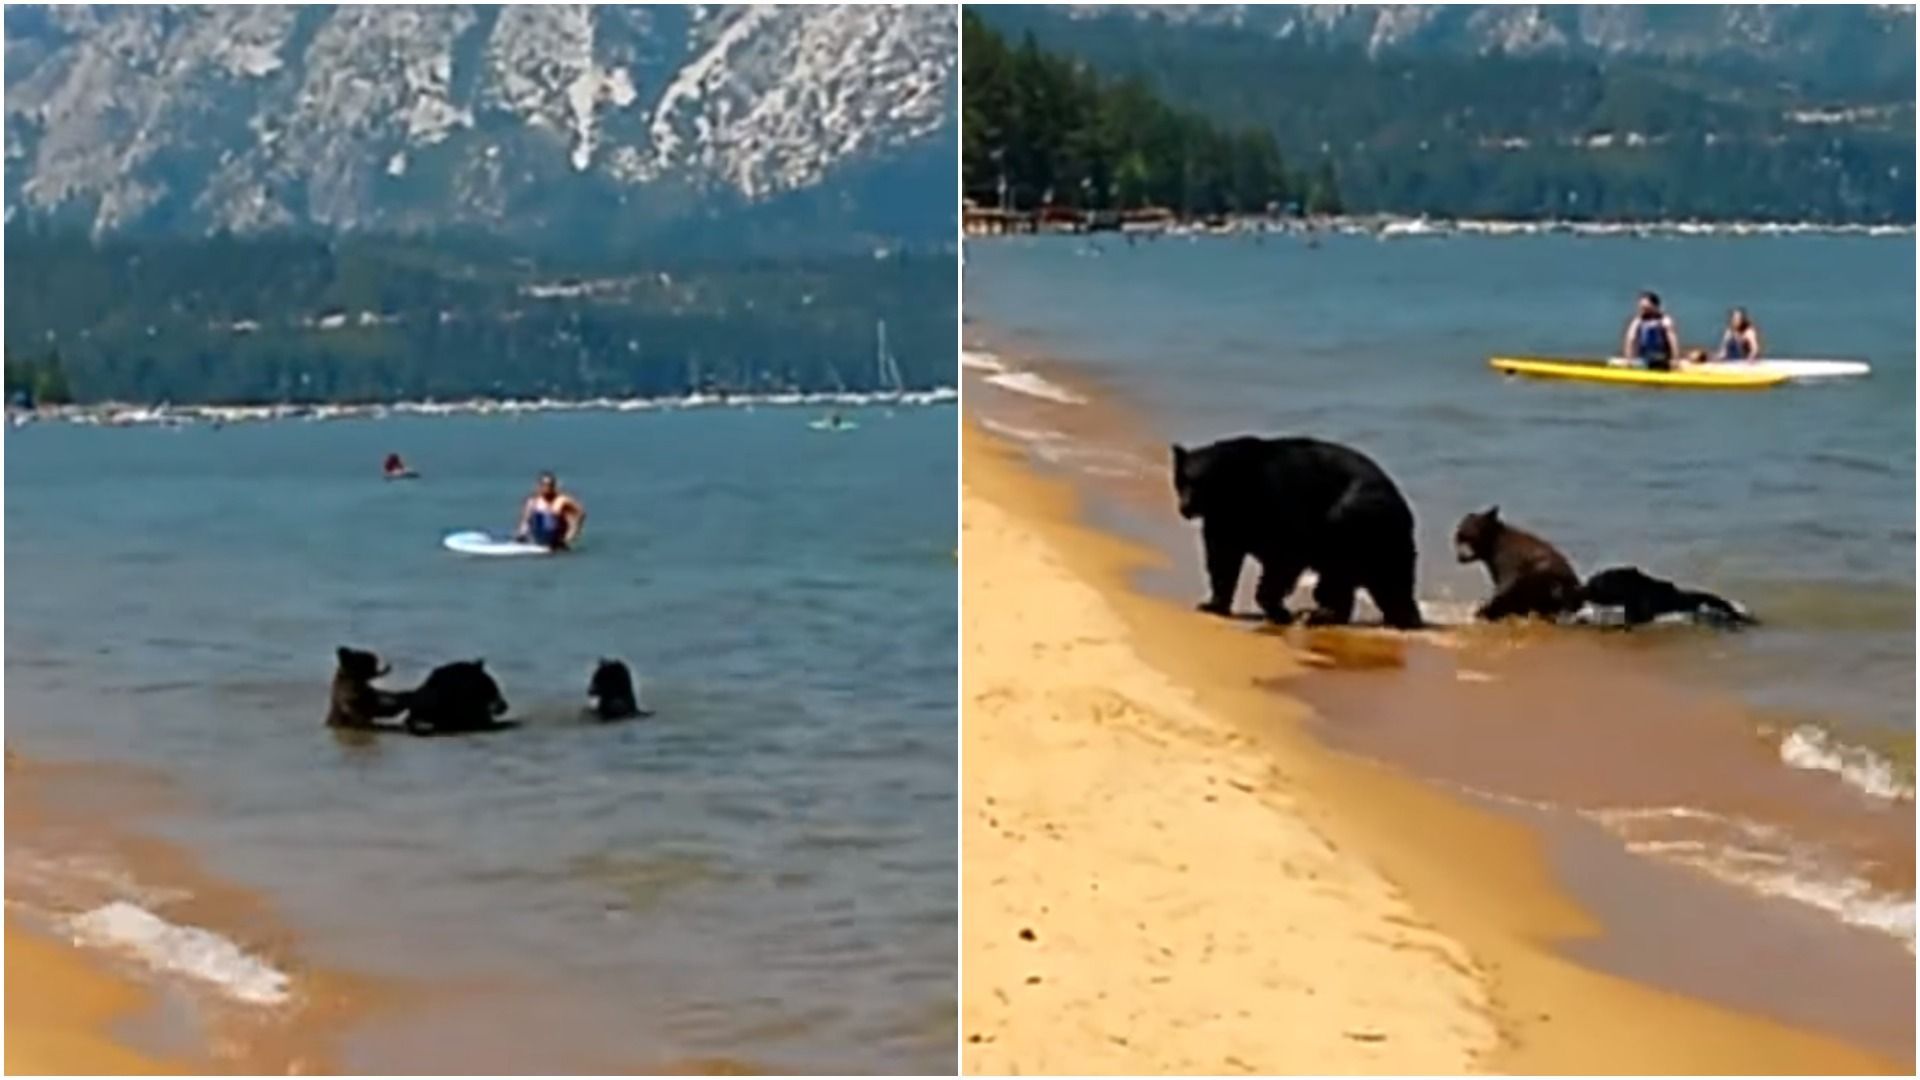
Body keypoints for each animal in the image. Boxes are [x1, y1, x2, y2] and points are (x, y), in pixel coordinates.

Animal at [1172, 436, 1424, 630]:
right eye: (1181, 481)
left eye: (1198, 483)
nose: (1185, 508)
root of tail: (1404, 508)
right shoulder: (1223, 522)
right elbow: (1222, 560)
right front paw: (1212, 605)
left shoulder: (1280, 510)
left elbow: (1283, 558)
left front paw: (1276, 609)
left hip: (1353, 520)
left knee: (1350, 572)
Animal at [1453, 507, 1584, 621]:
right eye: (1459, 538)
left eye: (1470, 536)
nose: (1460, 555)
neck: (1493, 543)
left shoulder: (1506, 562)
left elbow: (1505, 587)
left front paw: (1484, 610)